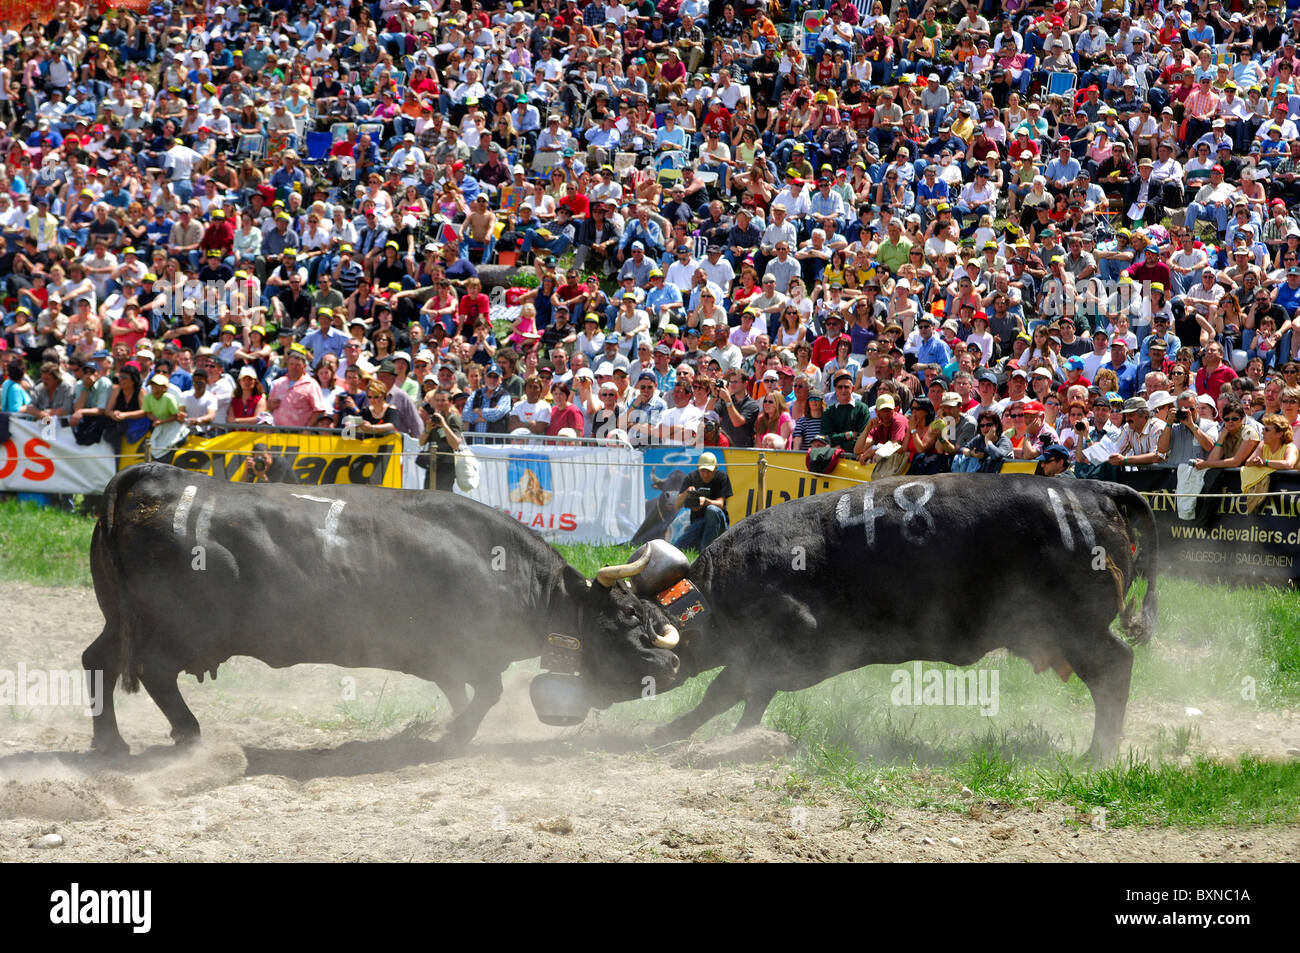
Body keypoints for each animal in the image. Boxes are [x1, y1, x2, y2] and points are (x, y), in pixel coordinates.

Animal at [83, 463, 682, 754]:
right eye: (629, 615)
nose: (673, 660)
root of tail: (159, 477)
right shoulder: (463, 648)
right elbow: (485, 694)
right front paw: (455, 737)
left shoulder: (446, 659)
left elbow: (462, 692)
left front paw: (447, 725)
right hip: (178, 628)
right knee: (150, 672)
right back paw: (176, 736)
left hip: (122, 620)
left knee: (99, 662)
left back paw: (124, 739)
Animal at [593, 475, 1157, 761]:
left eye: (622, 626)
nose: (577, 687)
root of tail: (1096, 491)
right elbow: (749, 697)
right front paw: (740, 735)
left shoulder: (791, 642)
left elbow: (724, 691)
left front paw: (667, 733)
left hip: (1078, 629)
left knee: (1116, 668)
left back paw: (1098, 754)